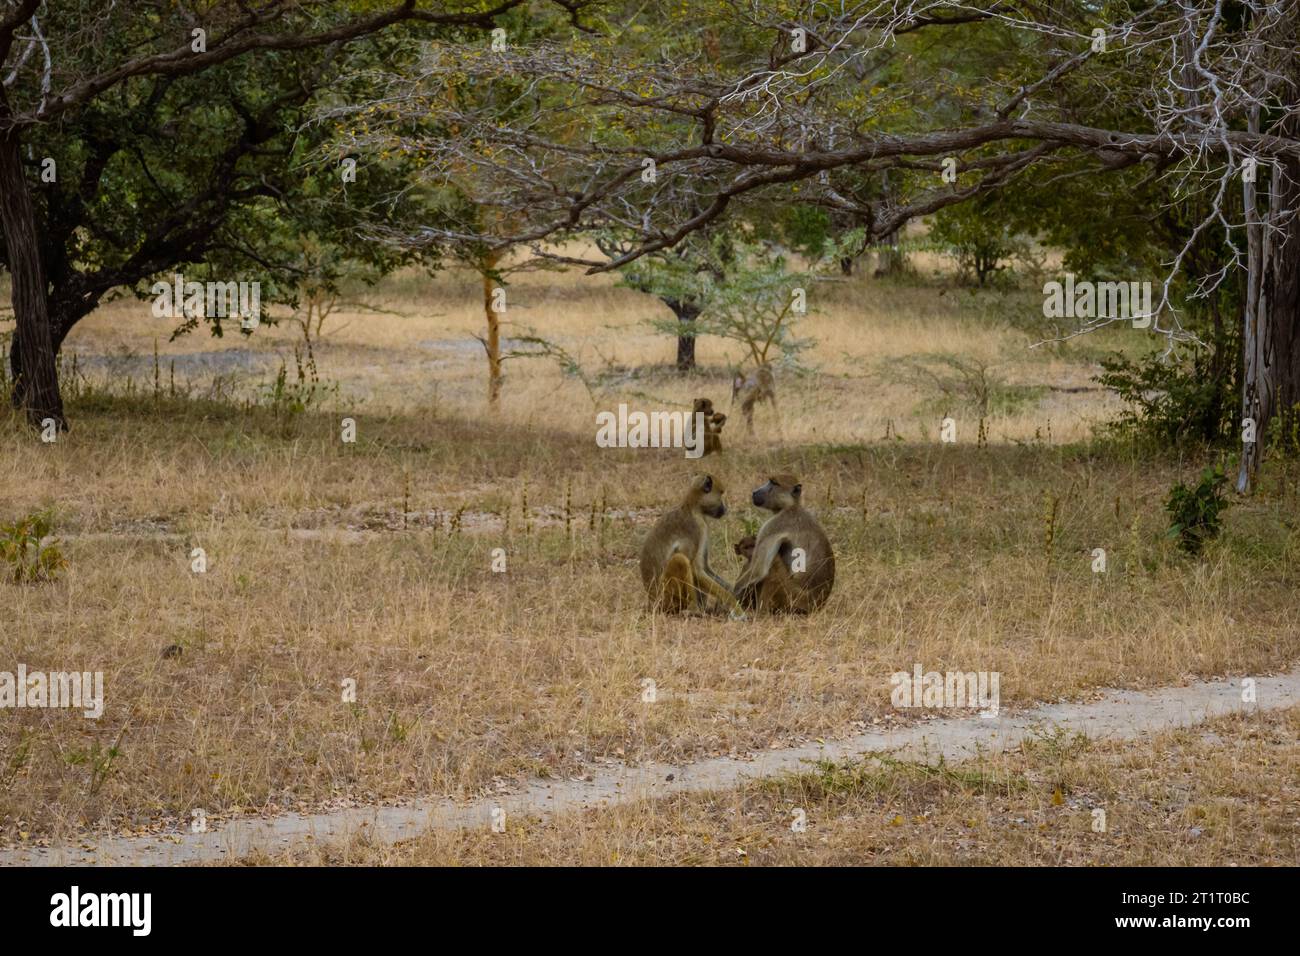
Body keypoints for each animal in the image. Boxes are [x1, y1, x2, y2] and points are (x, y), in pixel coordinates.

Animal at [639, 474, 744, 616]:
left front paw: (733, 592)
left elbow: (704, 567)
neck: (693, 507)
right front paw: (734, 604)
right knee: (680, 560)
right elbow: (696, 570)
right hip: (666, 595)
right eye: (721, 494)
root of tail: (652, 599)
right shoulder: (697, 528)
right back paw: (693, 609)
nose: (725, 509)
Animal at [732, 474, 834, 613]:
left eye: (774, 483)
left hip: (792, 598)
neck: (791, 507)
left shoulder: (774, 525)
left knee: (772, 567)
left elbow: (759, 569)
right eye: (770, 481)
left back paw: (760, 614)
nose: (755, 492)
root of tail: (818, 604)